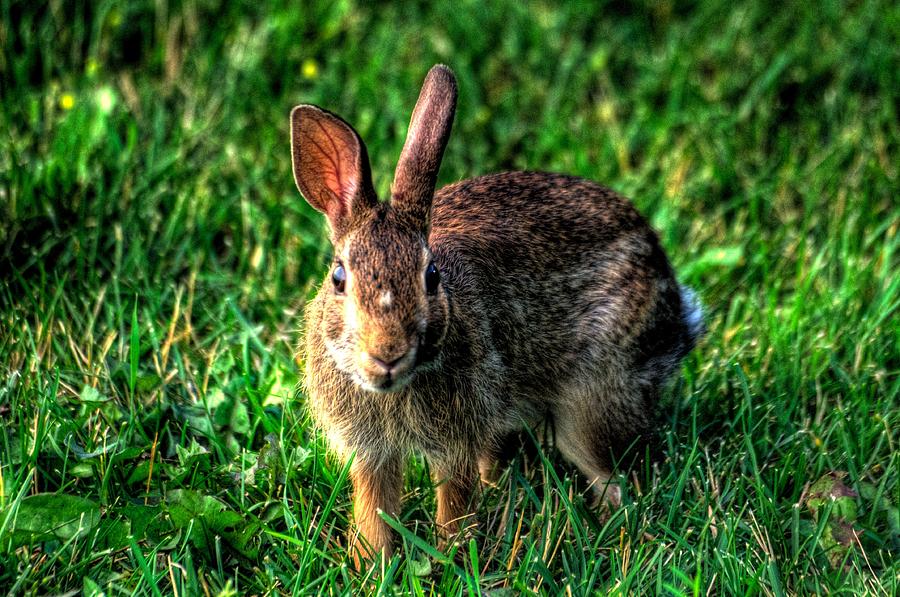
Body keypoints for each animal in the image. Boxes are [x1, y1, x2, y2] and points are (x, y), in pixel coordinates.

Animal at [290, 64, 704, 567]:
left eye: (431, 276)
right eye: (338, 277)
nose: (387, 352)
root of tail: (675, 311)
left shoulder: (456, 443)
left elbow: (453, 500)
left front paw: (451, 555)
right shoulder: (371, 453)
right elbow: (375, 510)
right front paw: (374, 565)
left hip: (592, 402)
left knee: (608, 476)